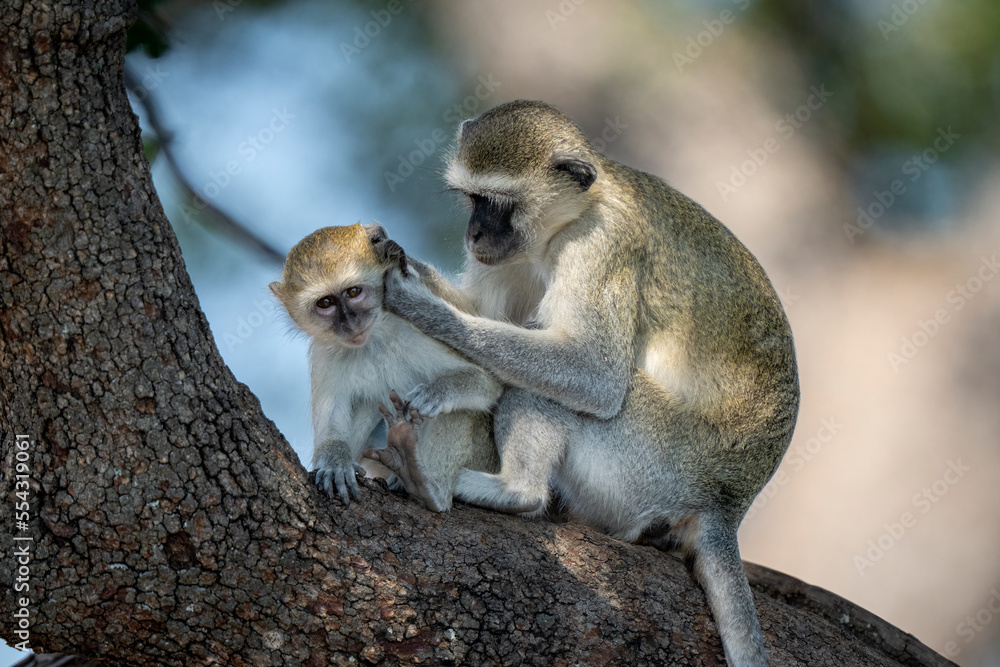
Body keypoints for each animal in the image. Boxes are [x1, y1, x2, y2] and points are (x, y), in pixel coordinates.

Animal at [269, 223, 501, 512]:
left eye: (353, 292)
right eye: (325, 303)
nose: (350, 323)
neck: (371, 341)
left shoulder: (411, 329)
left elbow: (488, 381)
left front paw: (438, 391)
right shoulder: (324, 356)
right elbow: (329, 433)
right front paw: (335, 463)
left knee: (462, 410)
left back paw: (429, 489)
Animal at [371, 100, 800, 666]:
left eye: (499, 203)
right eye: (472, 199)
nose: (474, 235)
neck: (575, 213)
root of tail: (728, 502)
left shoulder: (600, 244)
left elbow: (592, 375)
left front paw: (417, 305)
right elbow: (485, 311)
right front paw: (397, 259)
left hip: (654, 462)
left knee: (543, 388)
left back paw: (515, 491)